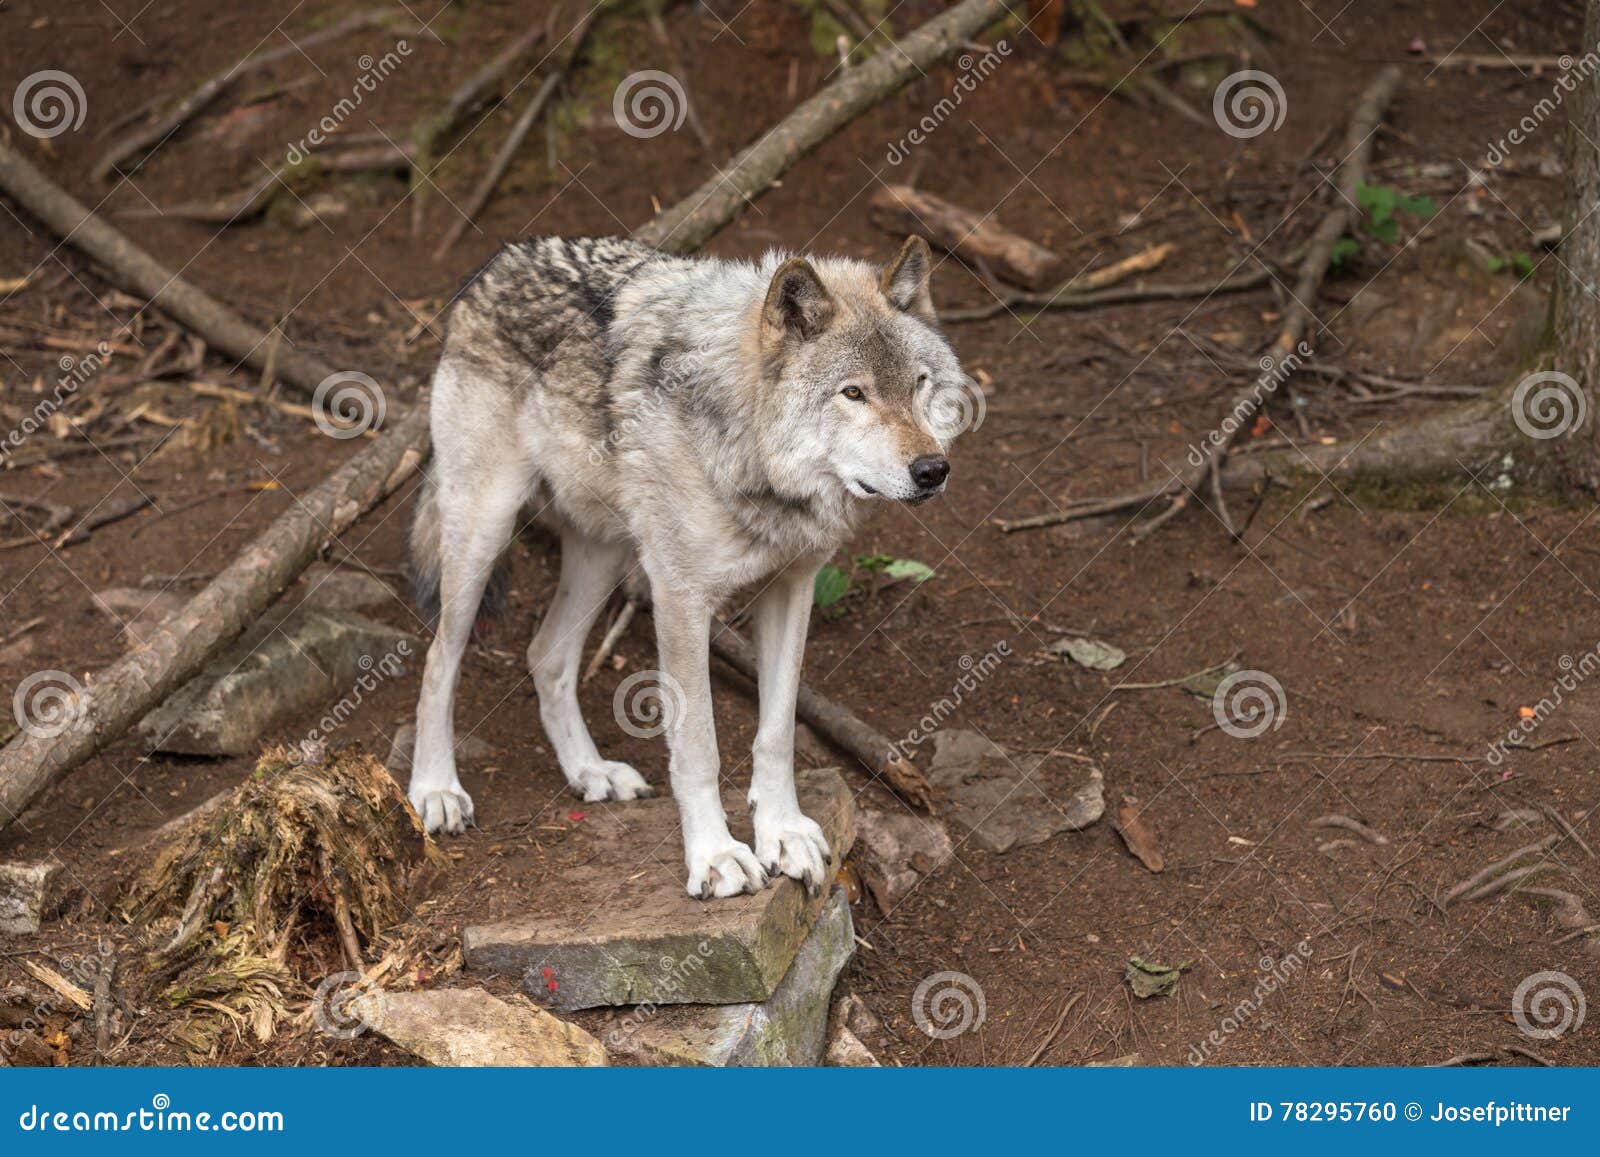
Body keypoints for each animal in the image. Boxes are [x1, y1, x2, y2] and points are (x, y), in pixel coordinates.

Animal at [406, 233, 970, 898]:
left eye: (919, 384)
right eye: (853, 393)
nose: (932, 471)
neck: (754, 458)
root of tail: (501, 261)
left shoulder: (792, 585)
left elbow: (777, 731)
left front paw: (783, 833)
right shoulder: (680, 598)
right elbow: (699, 744)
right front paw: (717, 856)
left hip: (604, 553)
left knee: (545, 655)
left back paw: (590, 771)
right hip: (484, 531)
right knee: (439, 659)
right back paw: (435, 790)